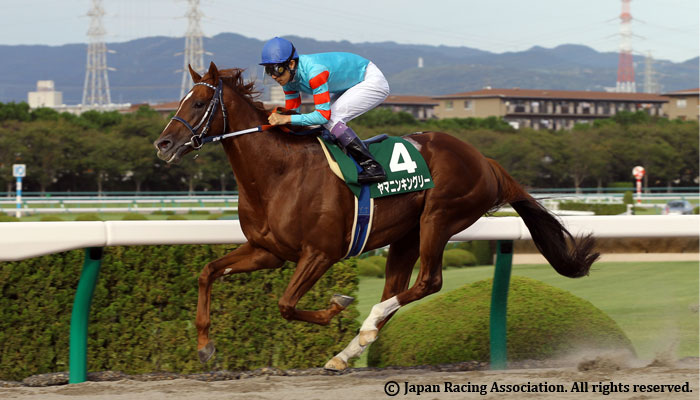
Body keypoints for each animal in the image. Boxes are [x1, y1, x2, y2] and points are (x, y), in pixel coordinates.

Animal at [154, 62, 599, 371]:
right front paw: (205, 347)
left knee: (428, 282)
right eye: (179, 101)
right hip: (405, 236)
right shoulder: (268, 251)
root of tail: (484, 160)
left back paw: (365, 325)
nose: (163, 144)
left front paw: (337, 304)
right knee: (397, 291)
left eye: (198, 103)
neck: (278, 174)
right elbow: (208, 272)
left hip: (439, 218)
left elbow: (285, 304)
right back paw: (348, 351)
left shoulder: (320, 253)